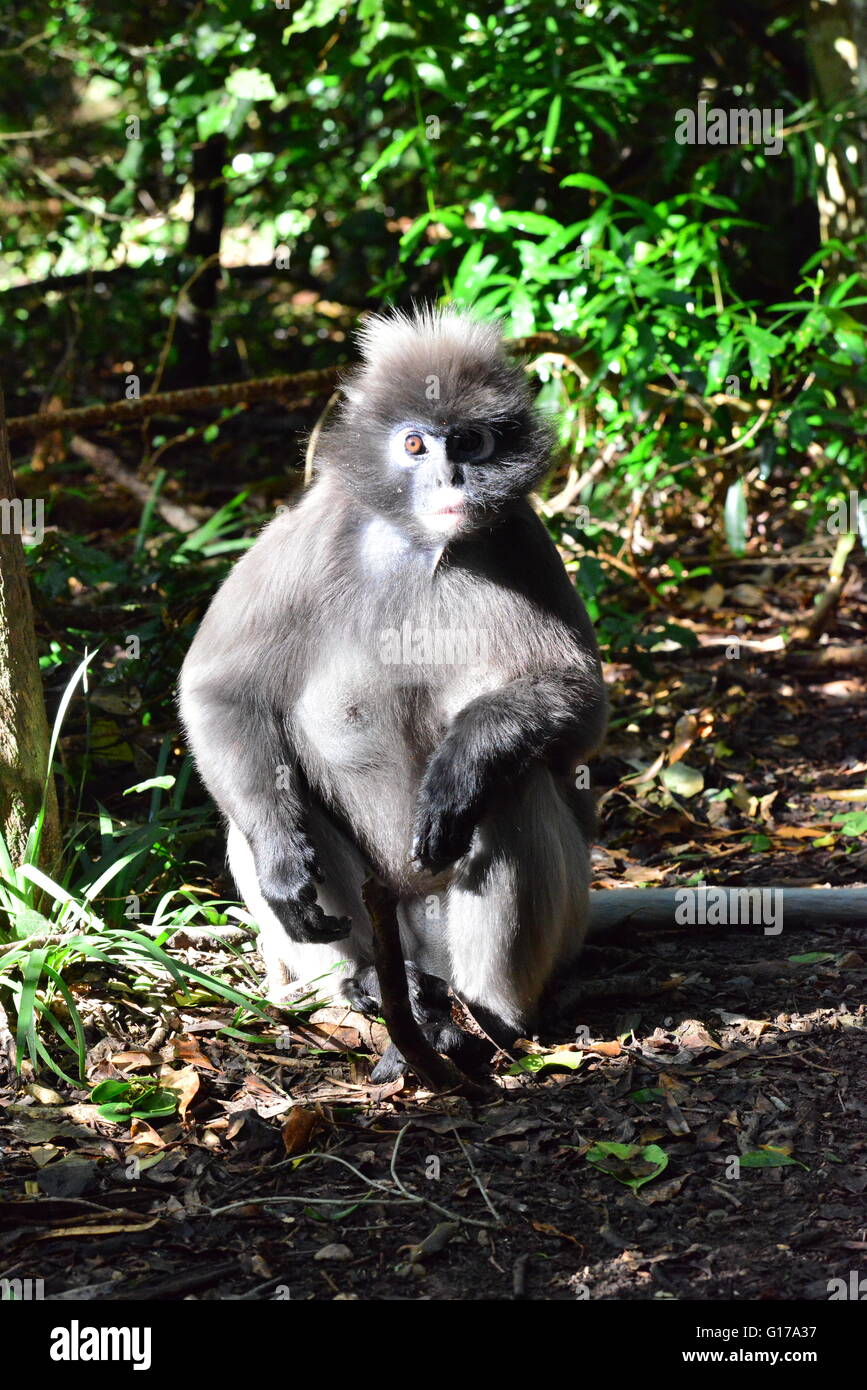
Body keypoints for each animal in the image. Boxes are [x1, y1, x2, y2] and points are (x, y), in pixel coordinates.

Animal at [179, 306, 608, 1080]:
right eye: (414, 443)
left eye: (469, 441)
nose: (450, 473)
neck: (419, 546)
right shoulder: (313, 529)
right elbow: (219, 689)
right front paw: (283, 861)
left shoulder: (522, 540)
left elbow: (582, 714)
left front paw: (457, 769)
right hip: (386, 923)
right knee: (263, 807)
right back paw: (377, 990)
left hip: (543, 926)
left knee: (514, 786)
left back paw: (482, 1019)